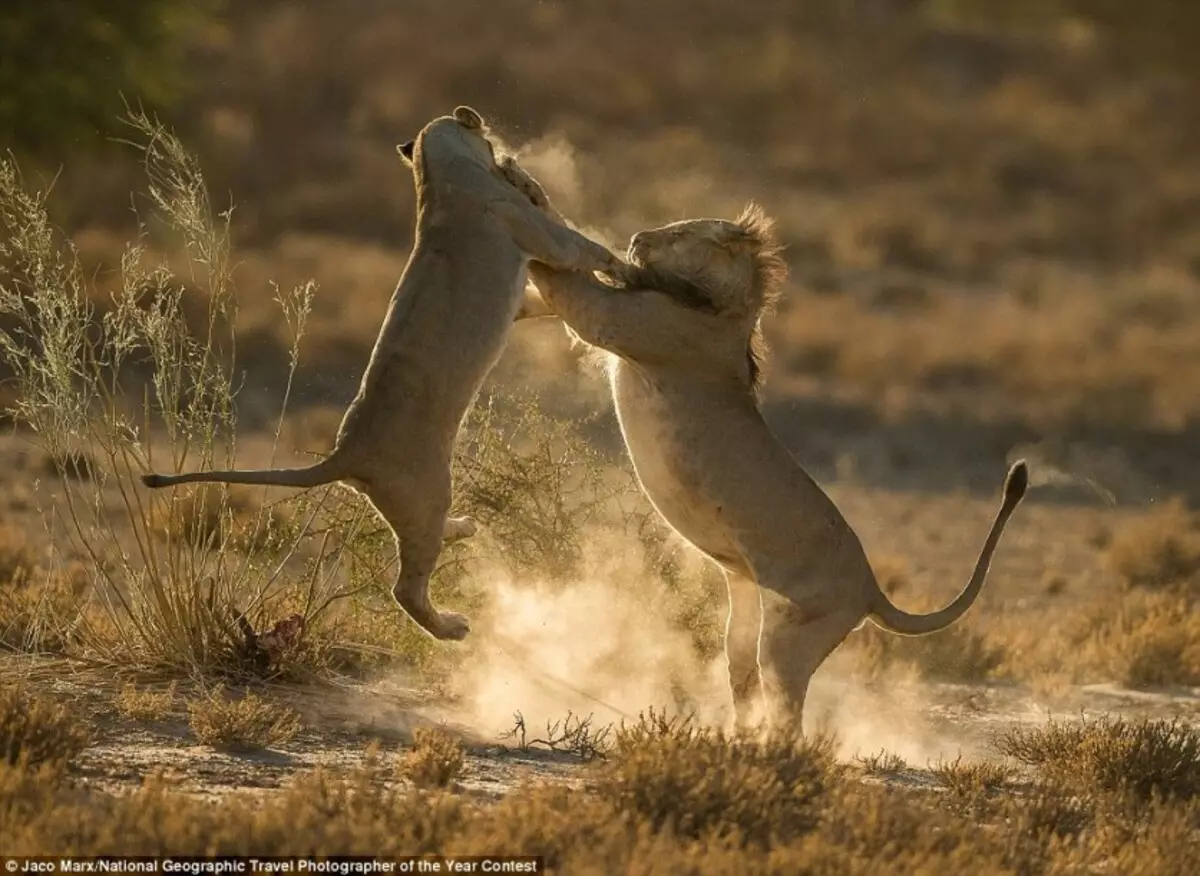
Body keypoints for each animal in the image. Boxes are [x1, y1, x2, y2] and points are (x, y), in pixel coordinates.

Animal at [142, 107, 619, 643]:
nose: (503, 151)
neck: (433, 178)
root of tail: (345, 453)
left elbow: (539, 301)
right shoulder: (542, 236)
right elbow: (585, 249)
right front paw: (621, 266)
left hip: (409, 501)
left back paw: (463, 530)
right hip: (427, 491)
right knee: (405, 587)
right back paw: (451, 626)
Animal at [525, 205, 1032, 724]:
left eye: (681, 234)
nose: (636, 238)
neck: (721, 310)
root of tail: (871, 588)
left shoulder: (620, 321)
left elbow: (566, 284)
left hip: (789, 638)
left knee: (788, 717)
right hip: (745, 618)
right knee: (745, 682)